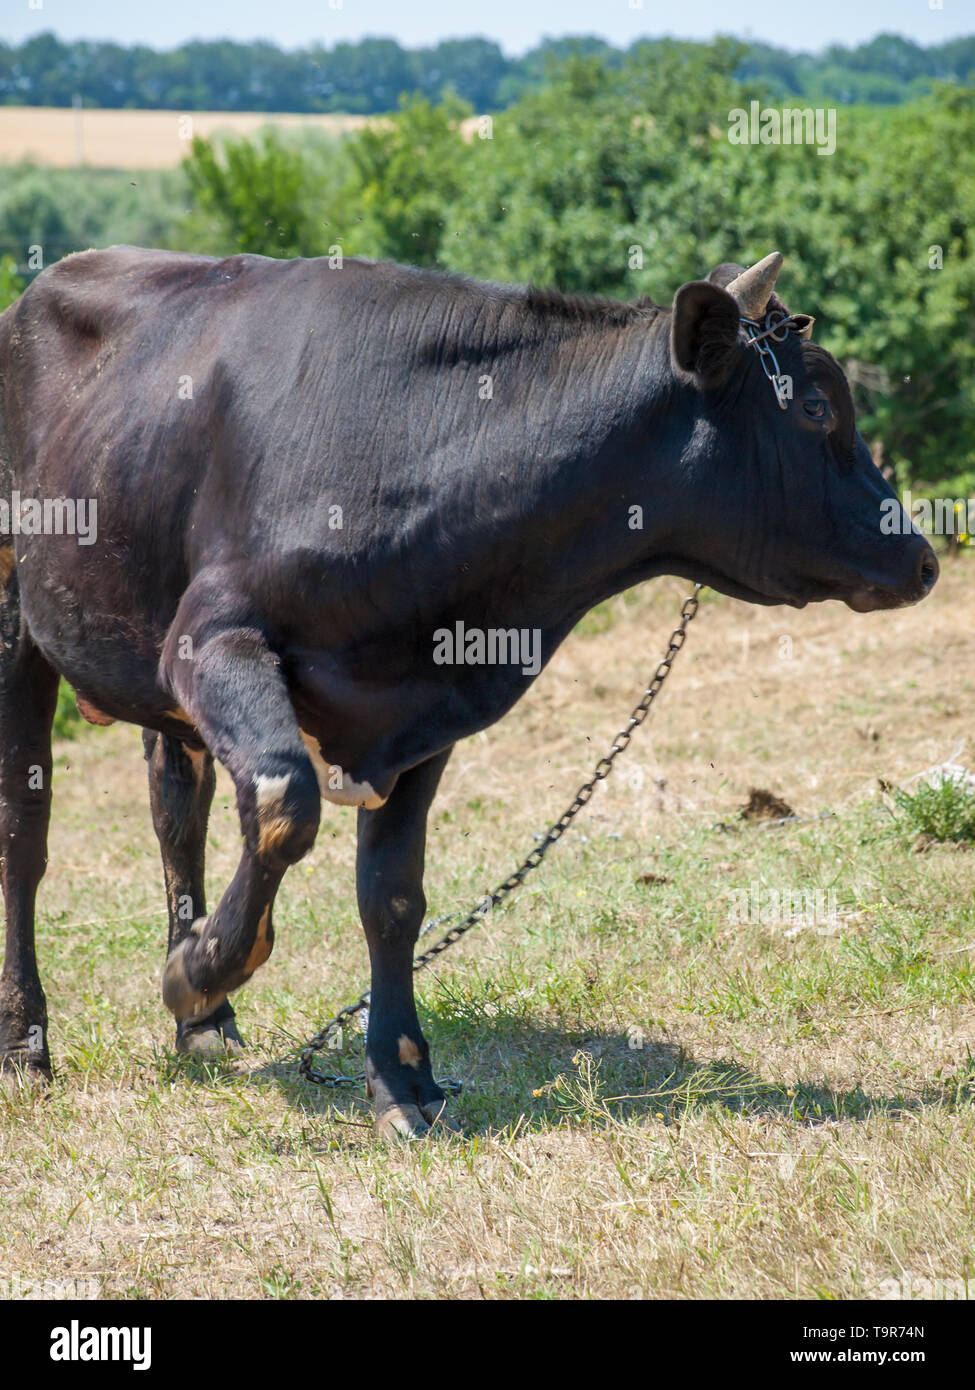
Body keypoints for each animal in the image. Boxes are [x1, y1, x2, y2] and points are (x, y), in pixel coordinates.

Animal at [0, 246, 938, 1137]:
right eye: (813, 409)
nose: (922, 556)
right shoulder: (211, 640)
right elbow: (282, 803)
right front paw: (195, 970)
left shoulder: (423, 705)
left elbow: (393, 896)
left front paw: (401, 1080)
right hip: (18, 617)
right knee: (24, 833)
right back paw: (30, 1045)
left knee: (175, 806)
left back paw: (205, 1026)